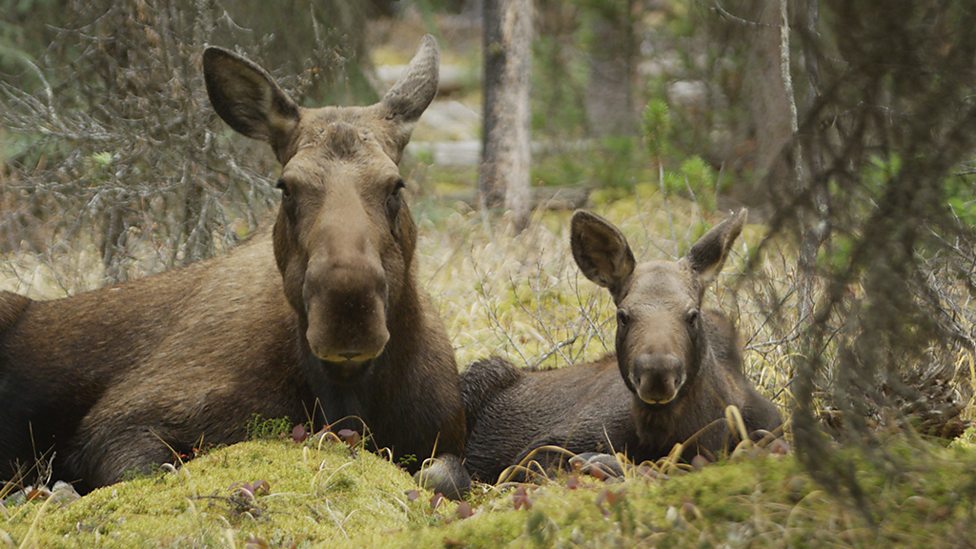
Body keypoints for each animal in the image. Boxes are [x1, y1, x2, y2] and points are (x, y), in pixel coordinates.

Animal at [0, 36, 469, 498]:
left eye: (395, 186)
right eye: (286, 187)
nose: (348, 313)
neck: (350, 393)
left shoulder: (444, 438)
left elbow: (443, 475)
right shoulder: (117, 423)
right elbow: (154, 472)